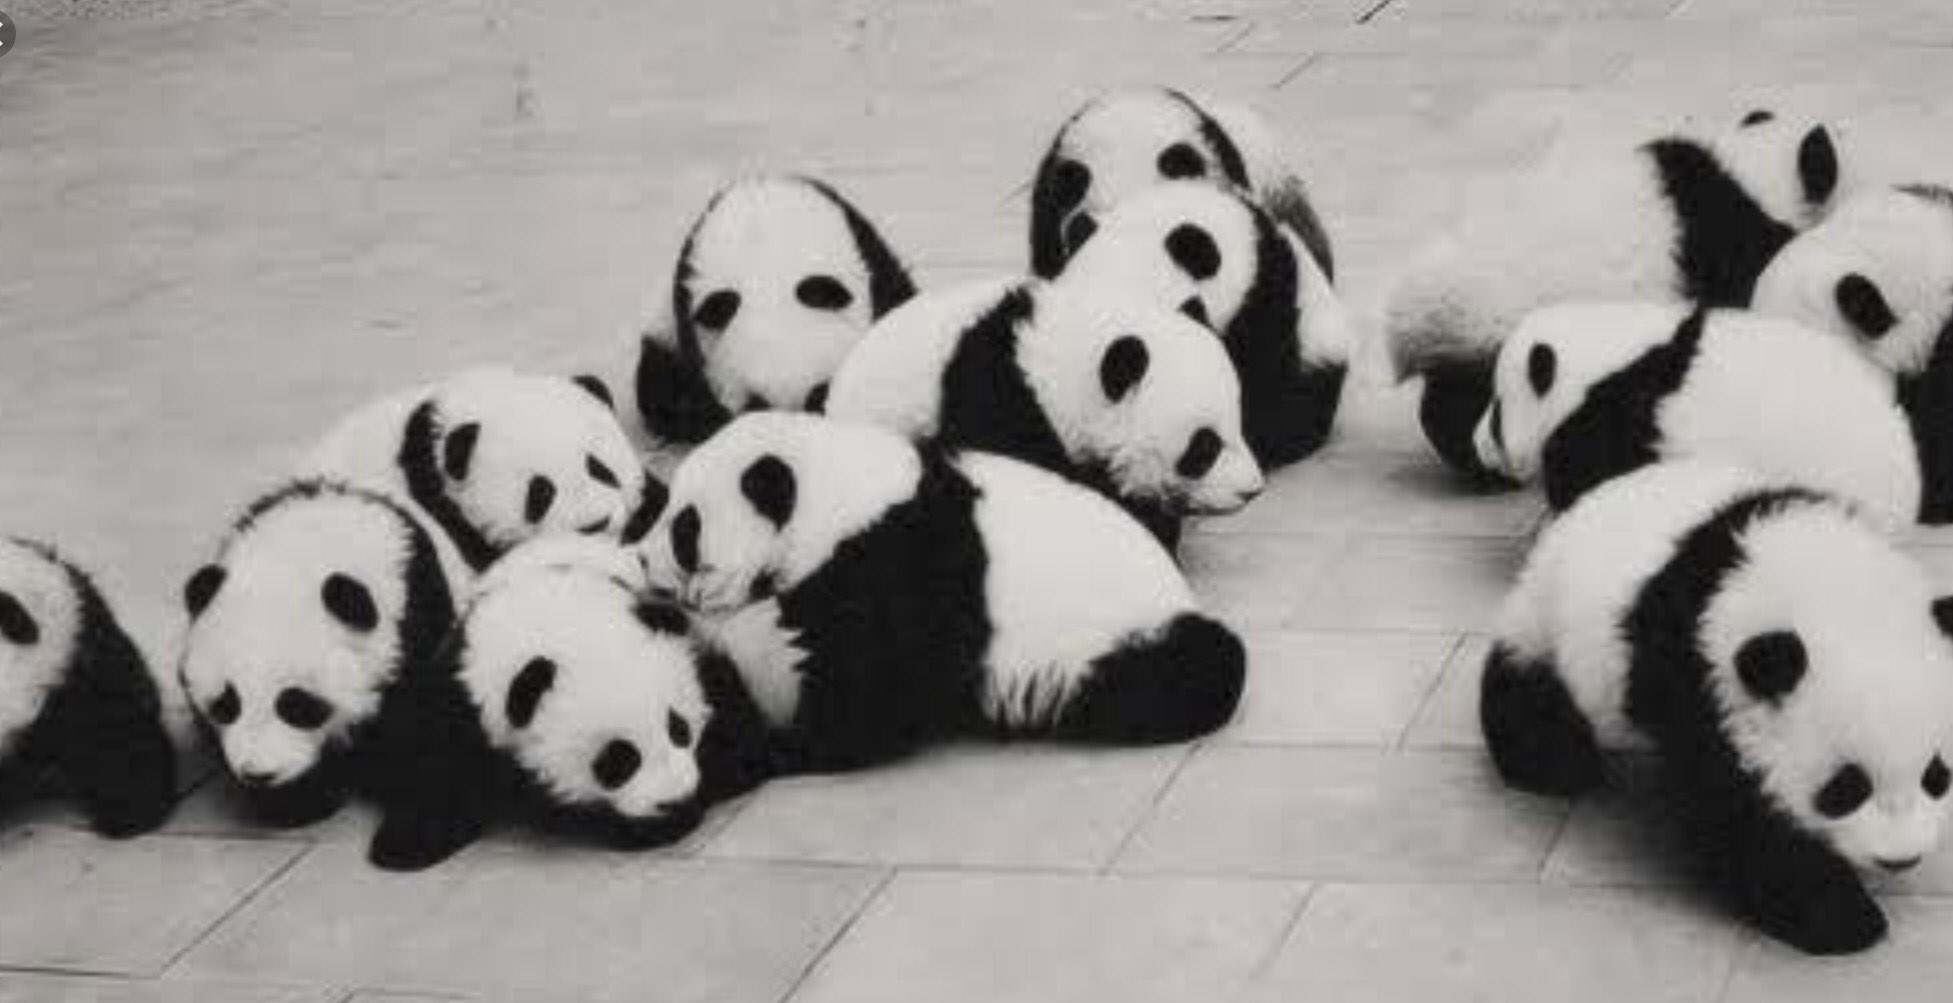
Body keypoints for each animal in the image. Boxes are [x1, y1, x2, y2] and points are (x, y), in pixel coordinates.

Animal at [364, 554, 768, 872]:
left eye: (680, 728)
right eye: (618, 760)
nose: (677, 800)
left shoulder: (689, 645)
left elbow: (738, 737)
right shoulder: (462, 690)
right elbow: (433, 760)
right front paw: (404, 846)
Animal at [638, 413, 1247, 774]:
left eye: (685, 528)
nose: (642, 558)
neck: (837, 495)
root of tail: (1179, 591)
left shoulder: (897, 559)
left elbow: (879, 680)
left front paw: (789, 746)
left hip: (1130, 631)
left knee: (1188, 671)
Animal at [1481, 460, 1953, 954]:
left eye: (1936, 776)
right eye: (1845, 788)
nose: (1901, 858)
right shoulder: (1692, 669)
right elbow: (1734, 810)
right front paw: (1842, 918)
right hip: (1547, 613)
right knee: (1526, 685)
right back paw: (1554, 768)